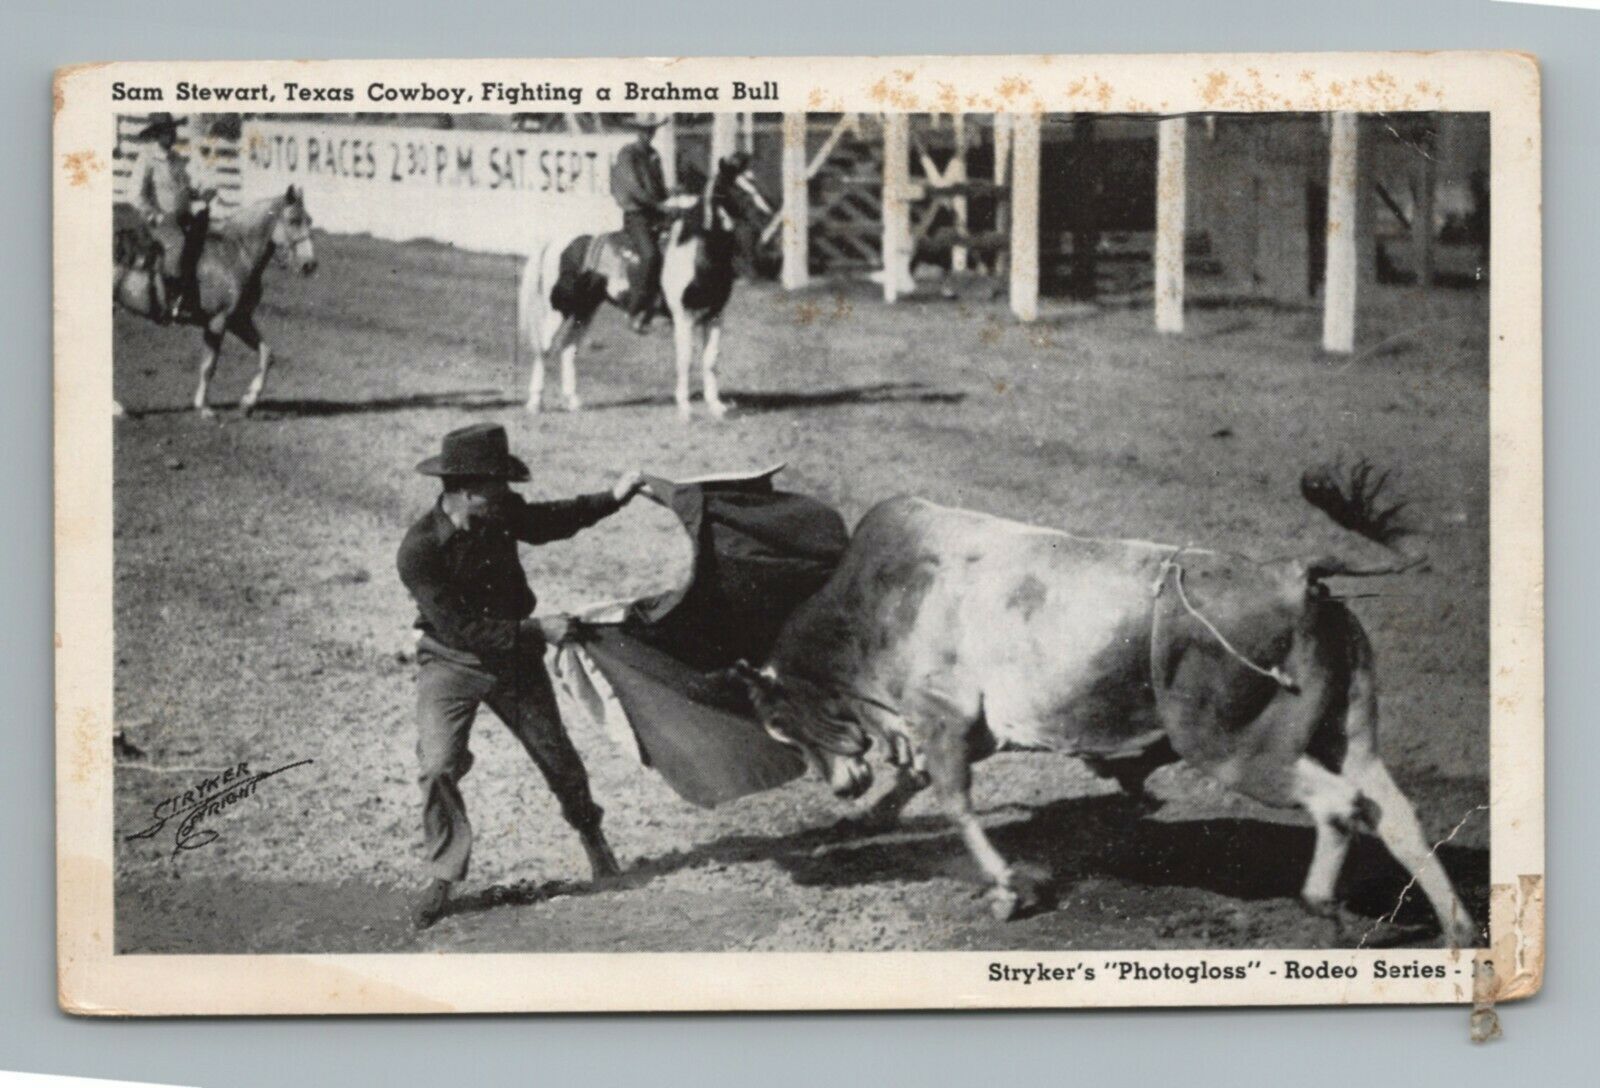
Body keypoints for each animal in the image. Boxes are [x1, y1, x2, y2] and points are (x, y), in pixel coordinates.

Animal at [733, 465, 1476, 947]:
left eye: (781, 726)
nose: (839, 787)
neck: (873, 602)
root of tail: (1291, 575)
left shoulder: (942, 721)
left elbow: (956, 804)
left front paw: (1008, 889)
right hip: (1348, 734)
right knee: (1396, 815)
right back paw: (1459, 930)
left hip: (1240, 750)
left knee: (1342, 807)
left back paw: (1324, 905)